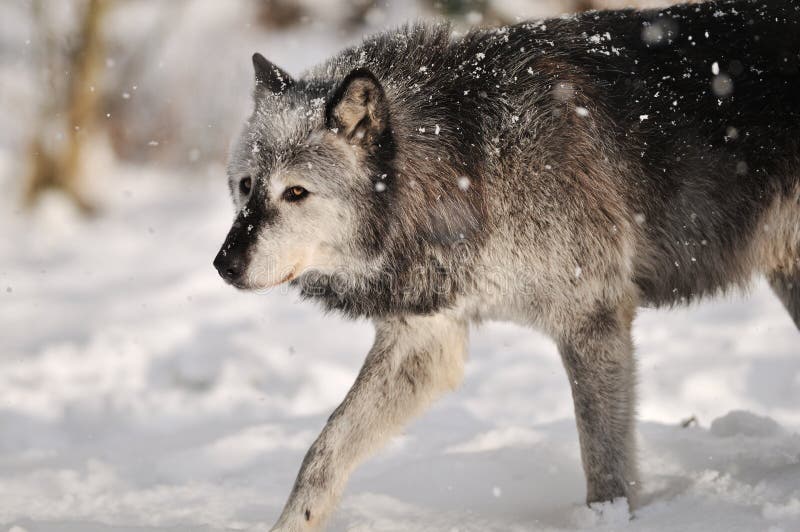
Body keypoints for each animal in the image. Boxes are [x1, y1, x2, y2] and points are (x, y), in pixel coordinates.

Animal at [213, 0, 800, 529]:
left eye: (295, 192)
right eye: (245, 187)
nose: (224, 265)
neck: (472, 164)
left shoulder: (593, 320)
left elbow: (604, 464)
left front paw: (610, 519)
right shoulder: (425, 340)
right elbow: (324, 448)